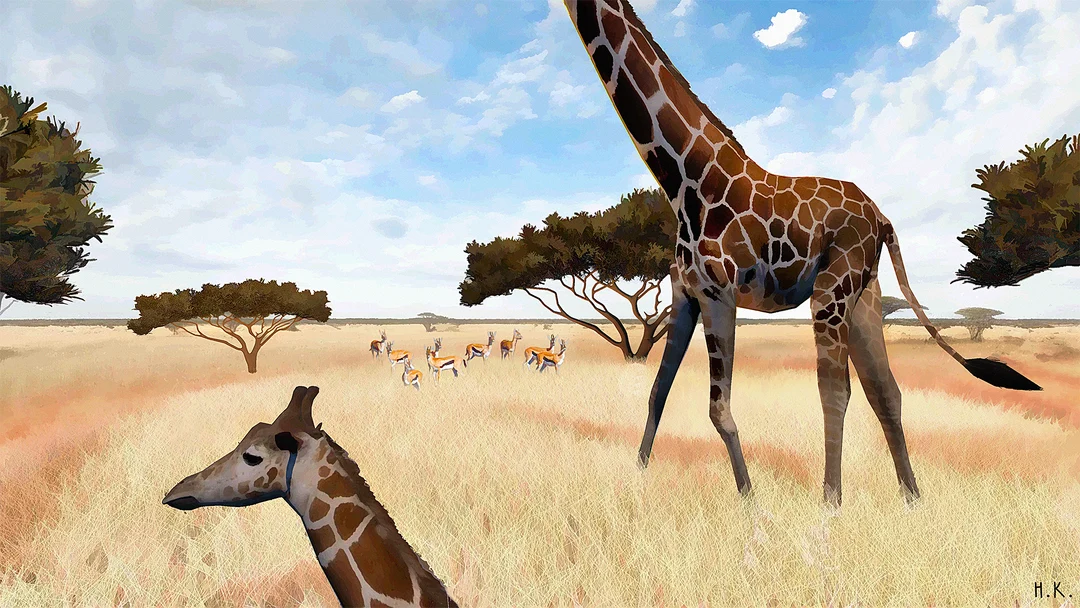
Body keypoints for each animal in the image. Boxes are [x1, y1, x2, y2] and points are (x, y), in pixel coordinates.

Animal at [563, 0, 1040, 505]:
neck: (685, 181)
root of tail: (882, 218)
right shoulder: (685, 294)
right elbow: (658, 390)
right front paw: (637, 474)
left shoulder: (718, 292)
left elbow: (718, 408)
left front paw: (749, 499)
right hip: (865, 295)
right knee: (886, 390)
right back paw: (912, 498)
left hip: (831, 292)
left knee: (837, 390)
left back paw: (831, 501)